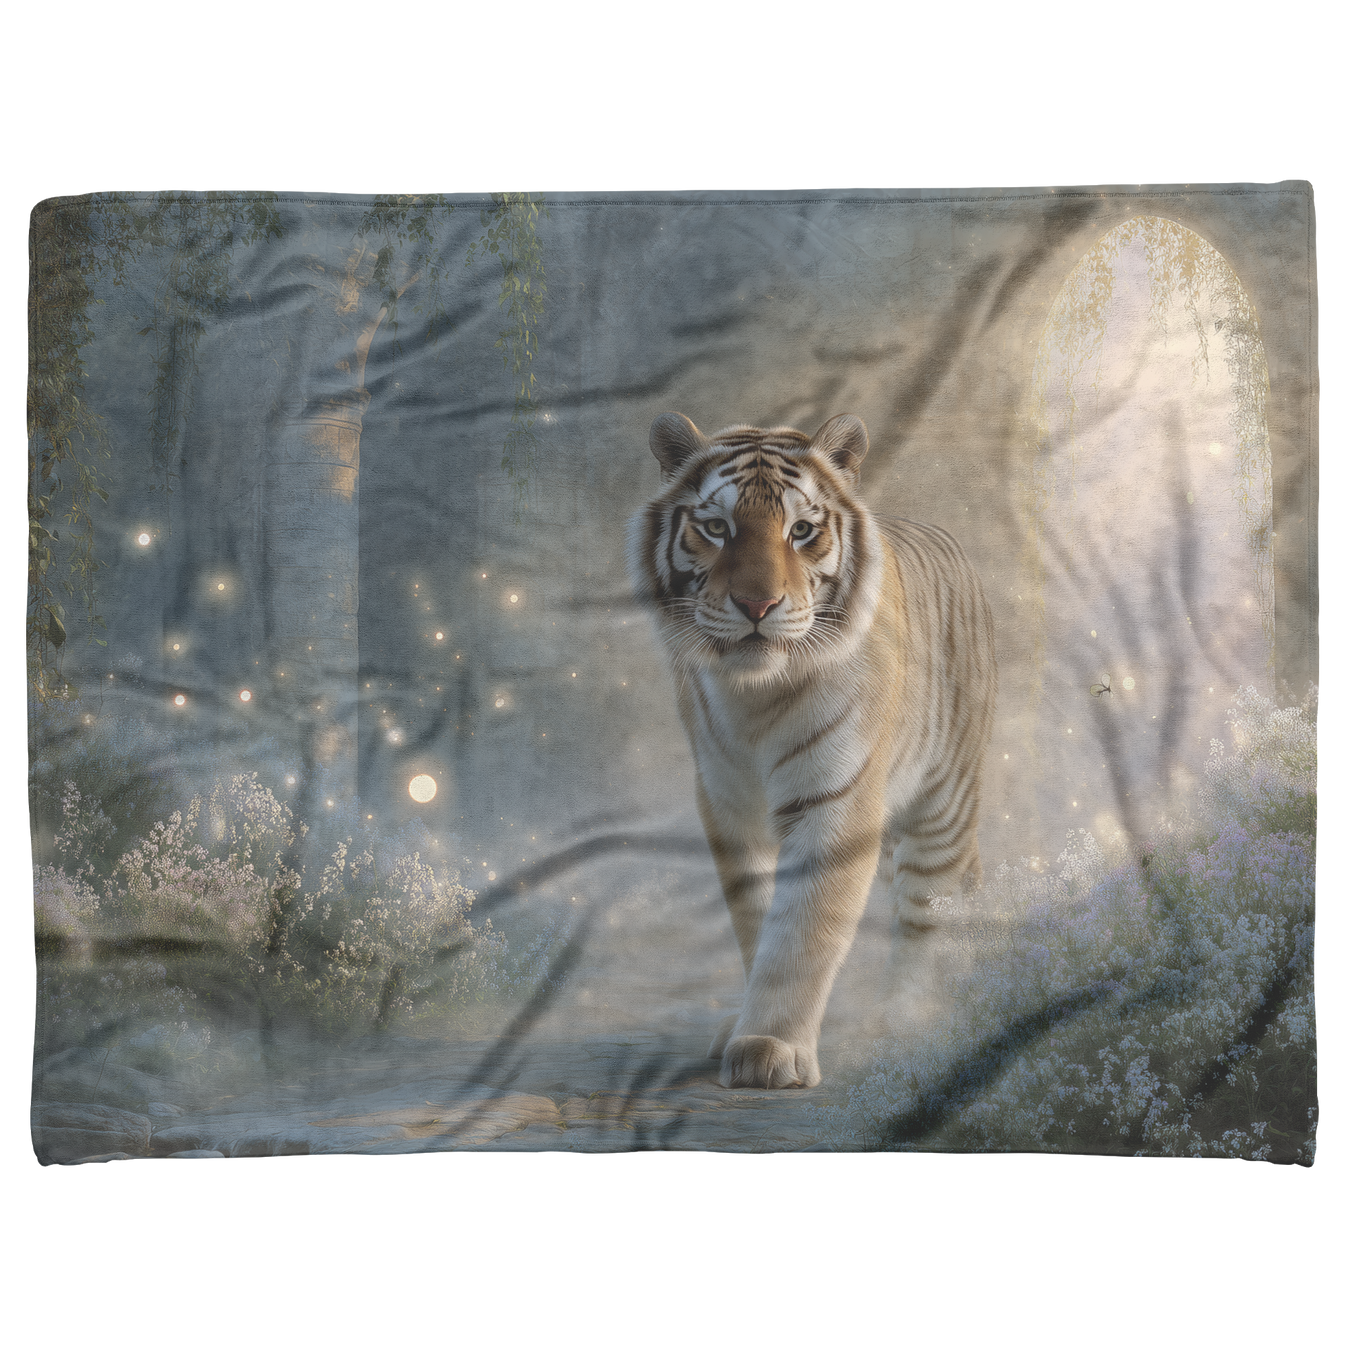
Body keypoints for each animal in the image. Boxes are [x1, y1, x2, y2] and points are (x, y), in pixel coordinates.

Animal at [627, 412, 997, 1089]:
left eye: (801, 531)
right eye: (716, 528)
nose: (757, 605)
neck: (754, 695)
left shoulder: (838, 800)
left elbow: (804, 928)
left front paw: (769, 1047)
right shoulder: (727, 803)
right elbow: (756, 919)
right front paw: (750, 1027)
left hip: (942, 809)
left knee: (924, 917)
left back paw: (907, 1021)